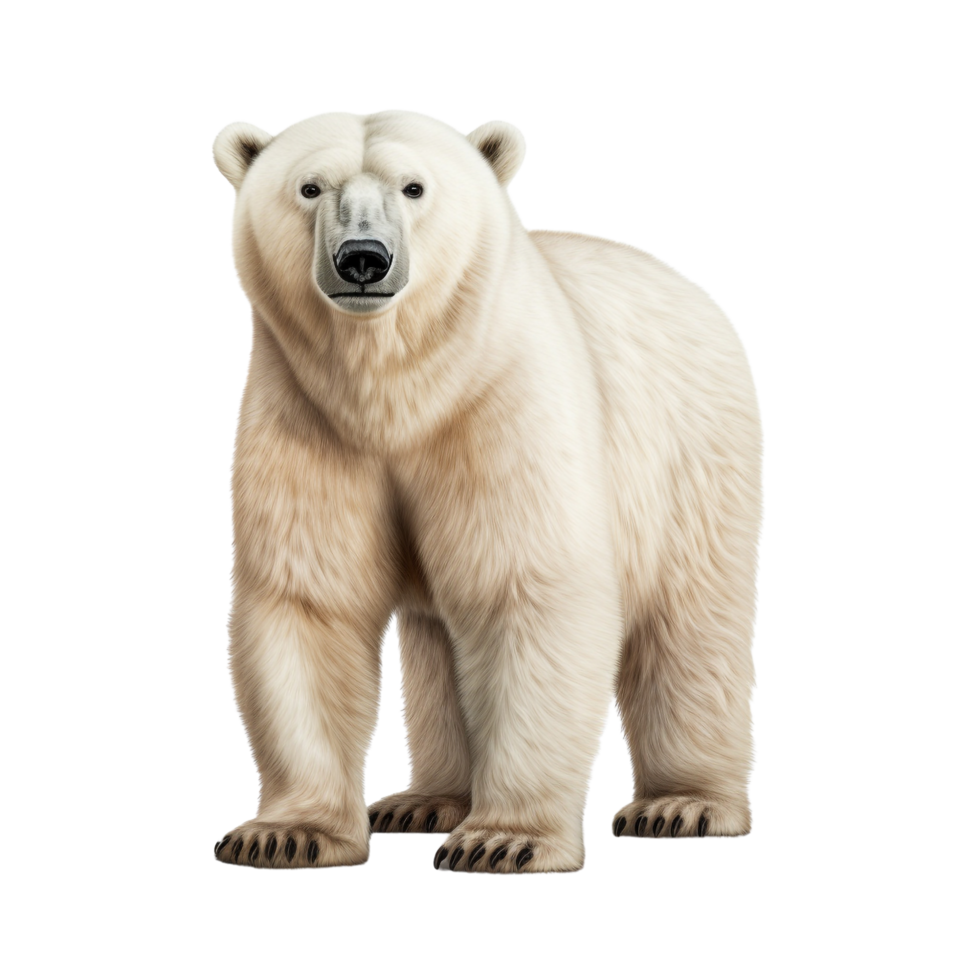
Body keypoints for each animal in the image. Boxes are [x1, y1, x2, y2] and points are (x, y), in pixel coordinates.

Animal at [210, 108, 764, 874]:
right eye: (309, 186)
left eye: (414, 187)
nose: (363, 258)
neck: (397, 392)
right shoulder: (305, 416)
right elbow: (309, 600)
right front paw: (286, 833)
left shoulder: (501, 402)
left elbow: (523, 590)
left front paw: (504, 840)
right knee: (439, 645)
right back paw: (426, 799)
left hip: (691, 451)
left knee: (689, 619)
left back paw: (682, 803)